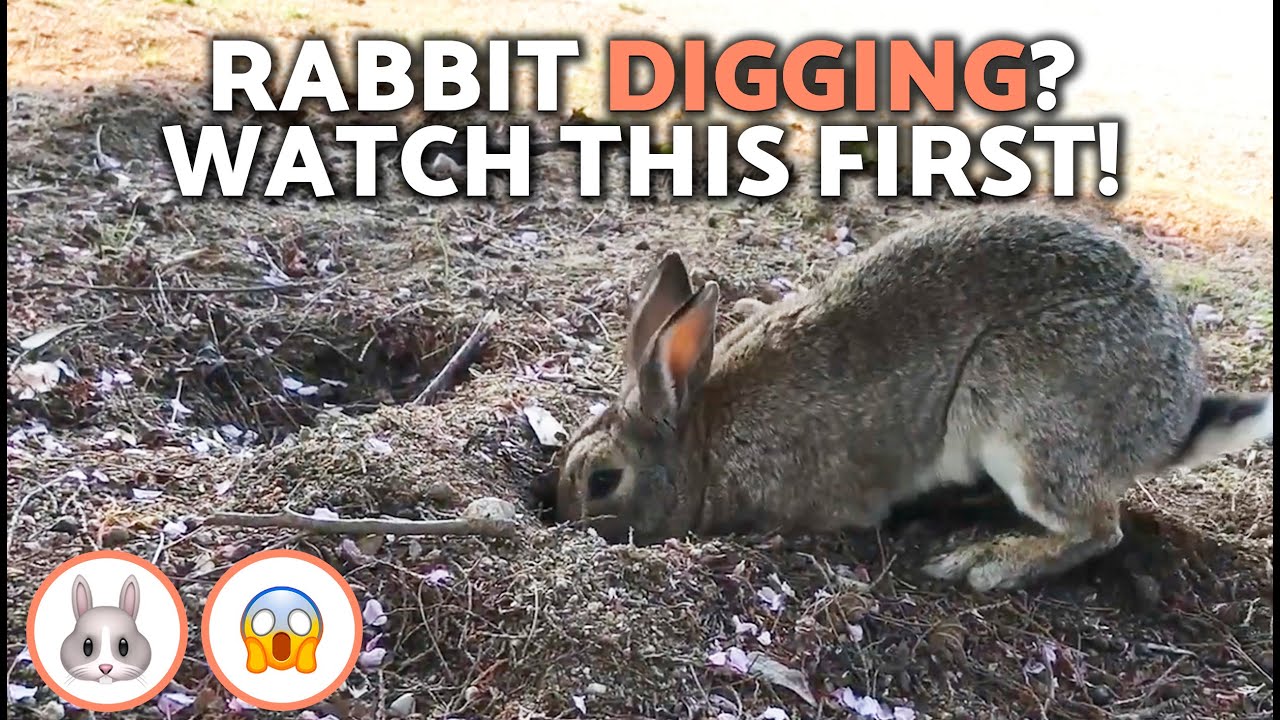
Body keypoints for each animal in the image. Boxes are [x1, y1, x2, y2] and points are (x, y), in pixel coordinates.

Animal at [551, 206, 1274, 591]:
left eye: (603, 480)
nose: (563, 521)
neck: (698, 438)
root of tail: (1171, 426)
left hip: (1025, 416)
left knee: (1097, 527)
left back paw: (988, 563)